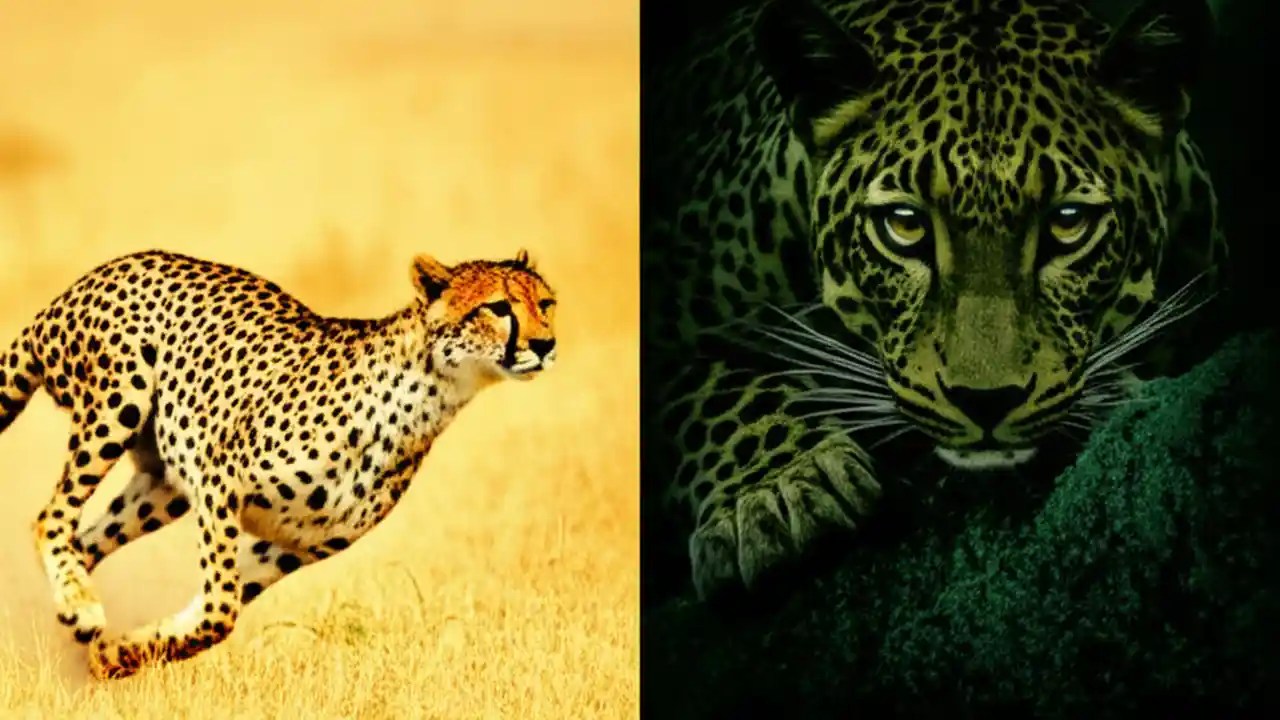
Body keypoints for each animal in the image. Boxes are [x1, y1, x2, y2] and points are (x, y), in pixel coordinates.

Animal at [0, 248, 558, 679]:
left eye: (546, 304)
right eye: (497, 308)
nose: (546, 344)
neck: (430, 395)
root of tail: (111, 266)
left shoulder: (295, 546)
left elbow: (212, 611)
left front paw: (123, 653)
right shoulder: (218, 480)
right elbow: (220, 610)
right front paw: (125, 647)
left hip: (162, 489)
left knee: (84, 543)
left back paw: (77, 613)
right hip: (118, 402)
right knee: (50, 518)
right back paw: (80, 603)